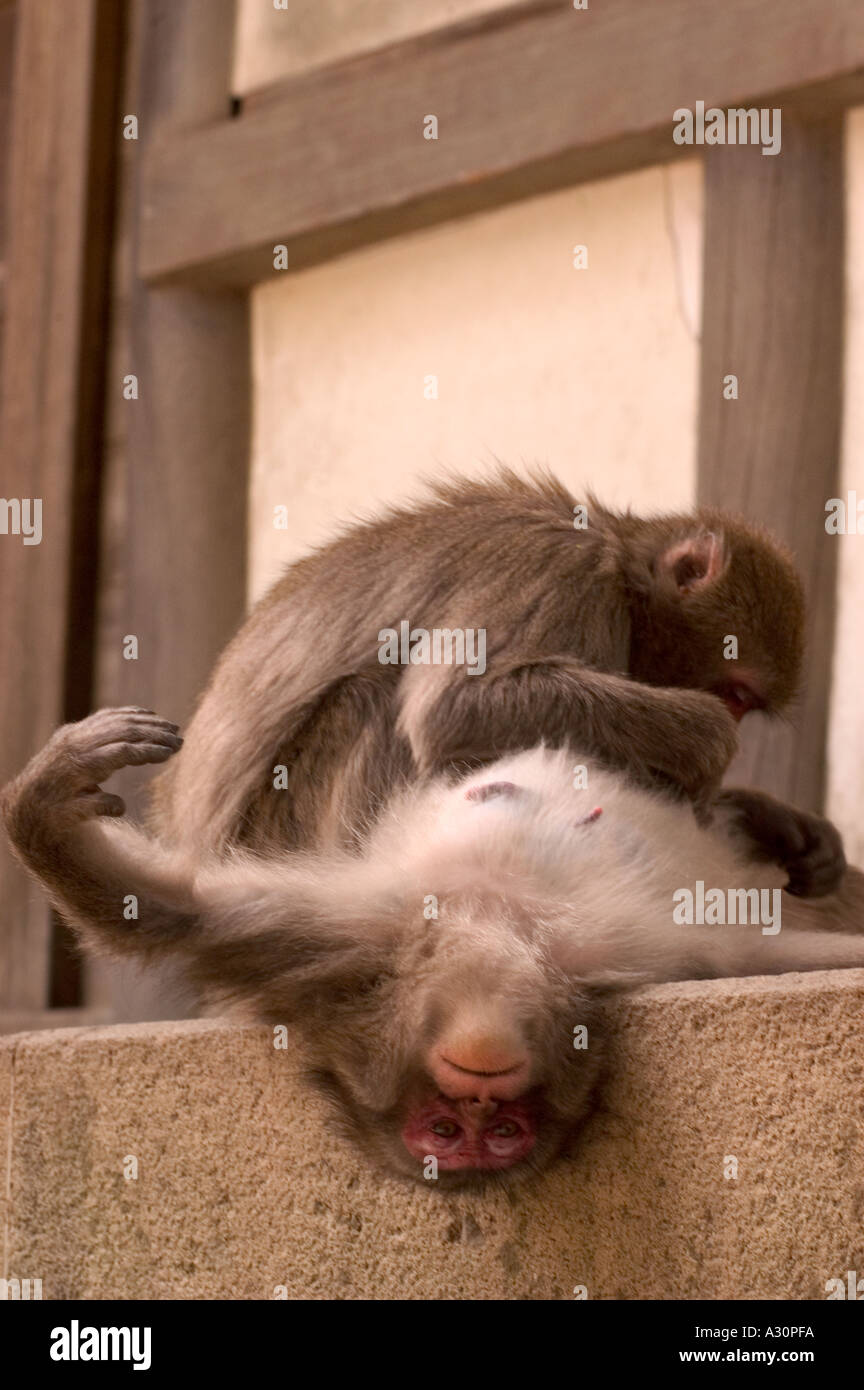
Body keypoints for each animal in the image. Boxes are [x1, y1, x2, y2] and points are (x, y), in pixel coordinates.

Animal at [3, 707, 863, 1190]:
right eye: (448, 1133)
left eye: (499, 1130)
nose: (478, 1098)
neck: (506, 923)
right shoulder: (351, 939)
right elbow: (164, 911)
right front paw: (44, 801)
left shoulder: (676, 958)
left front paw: (43, 795)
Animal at [147, 469, 842, 899]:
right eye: (735, 697)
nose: (733, 718)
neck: (620, 569)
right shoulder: (567, 573)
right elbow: (456, 708)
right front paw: (705, 741)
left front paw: (783, 823)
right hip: (284, 833)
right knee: (374, 696)